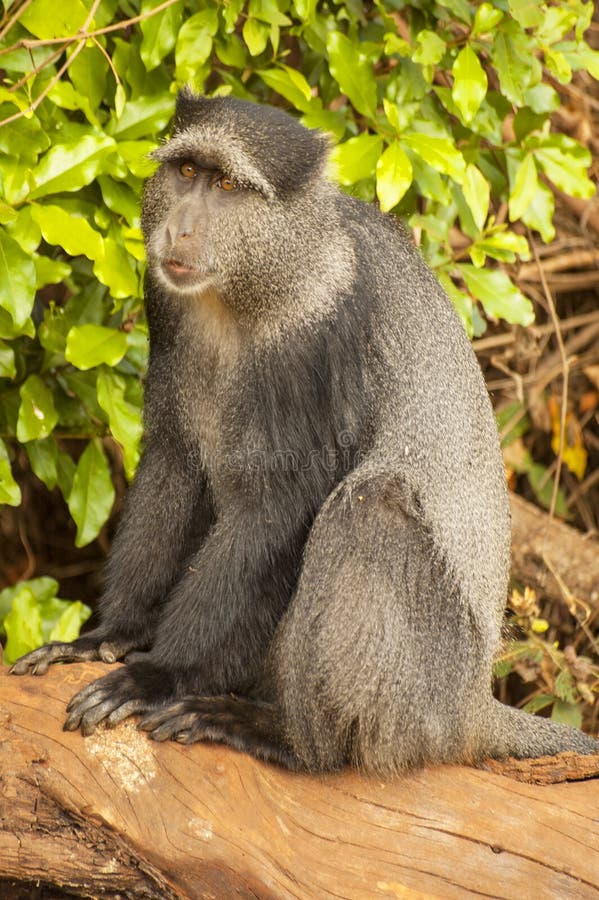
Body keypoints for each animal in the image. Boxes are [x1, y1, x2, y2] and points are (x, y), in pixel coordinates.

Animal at [10, 89, 599, 773]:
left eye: (227, 185)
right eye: (186, 171)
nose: (178, 229)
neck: (256, 283)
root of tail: (471, 710)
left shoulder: (320, 338)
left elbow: (279, 506)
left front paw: (158, 675)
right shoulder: (168, 312)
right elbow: (174, 464)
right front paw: (113, 637)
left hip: (420, 691)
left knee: (371, 508)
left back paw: (289, 738)